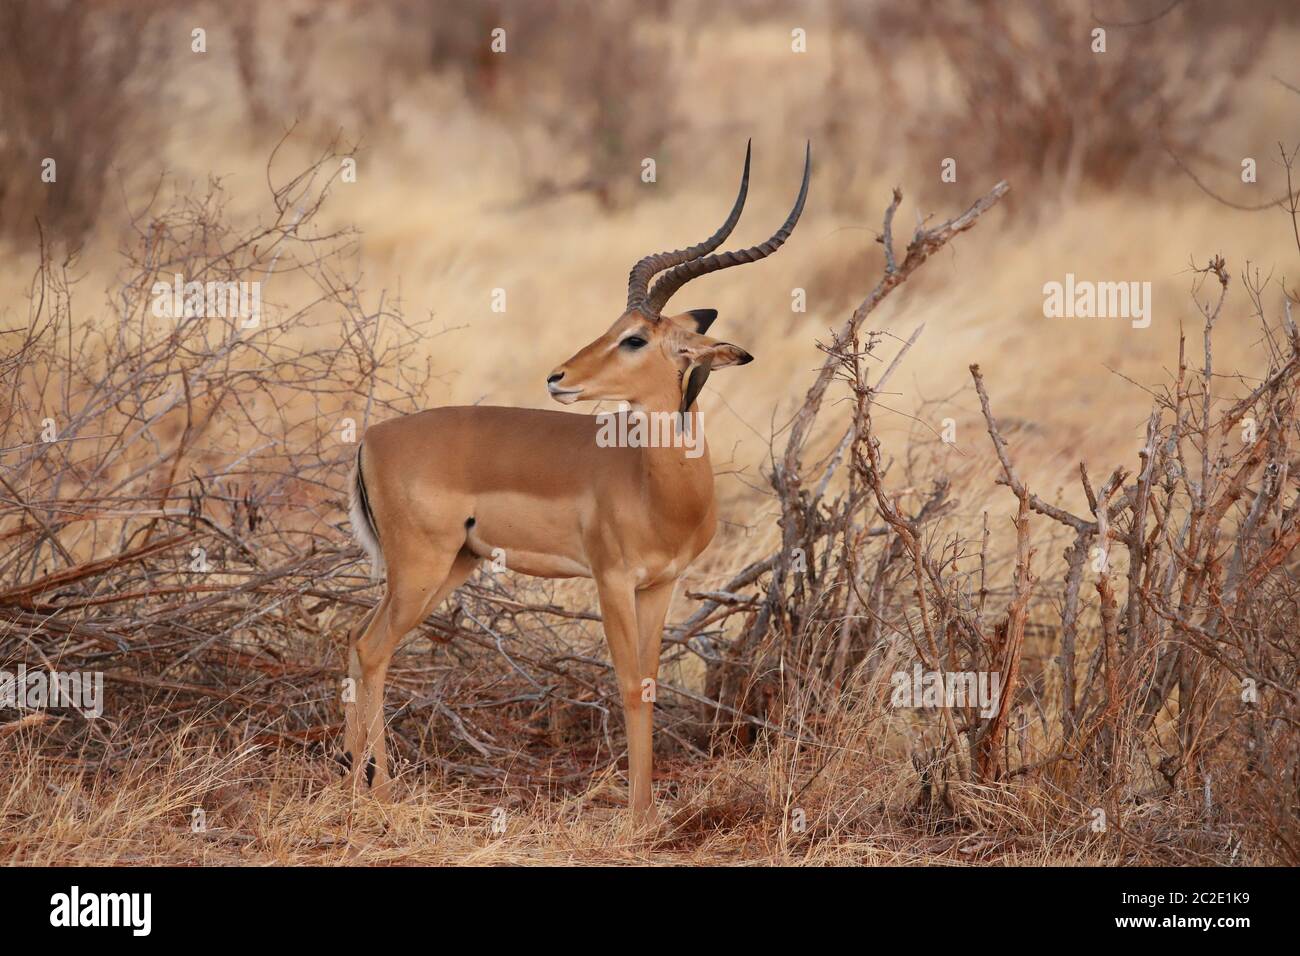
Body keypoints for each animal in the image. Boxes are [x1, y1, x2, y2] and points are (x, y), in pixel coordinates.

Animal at [344, 142, 810, 820]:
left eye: (634, 337)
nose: (557, 376)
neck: (657, 487)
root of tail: (369, 441)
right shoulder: (611, 579)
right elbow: (628, 685)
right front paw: (637, 819)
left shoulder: (661, 585)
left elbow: (650, 682)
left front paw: (647, 812)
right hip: (421, 567)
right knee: (372, 648)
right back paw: (377, 793)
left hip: (450, 565)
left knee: (358, 640)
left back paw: (353, 782)